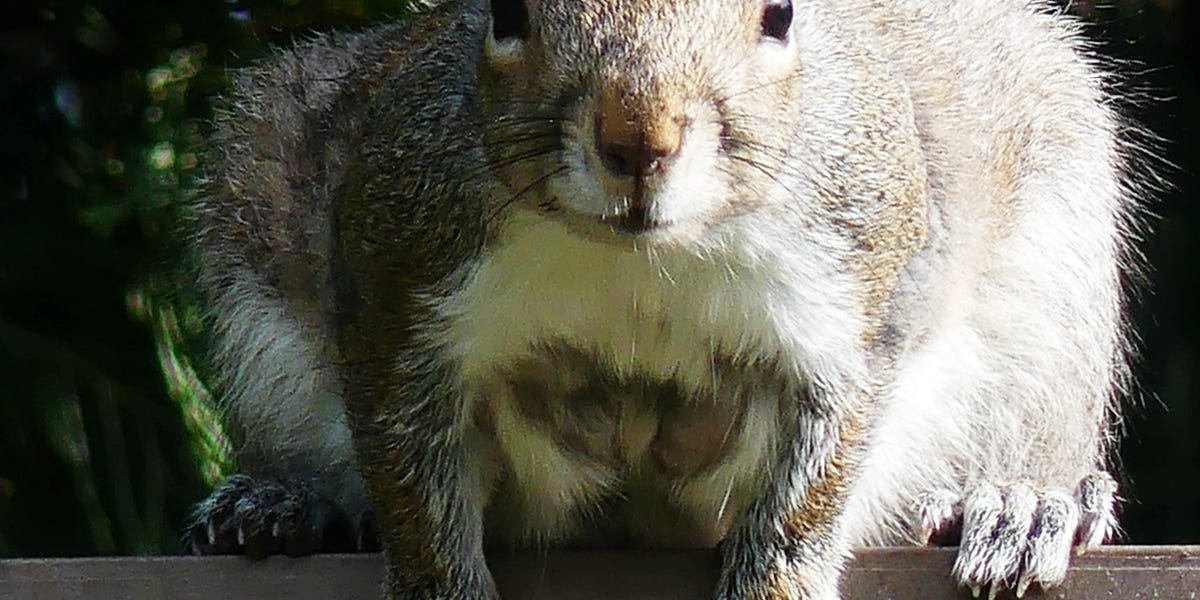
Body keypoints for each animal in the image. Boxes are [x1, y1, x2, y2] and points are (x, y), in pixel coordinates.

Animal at [187, 0, 1143, 598]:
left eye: (781, 13)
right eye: (505, 11)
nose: (638, 139)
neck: (643, 260)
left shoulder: (858, 305)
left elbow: (808, 497)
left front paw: (777, 584)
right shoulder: (395, 288)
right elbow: (413, 497)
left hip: (1050, 293)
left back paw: (1022, 503)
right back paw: (287, 503)